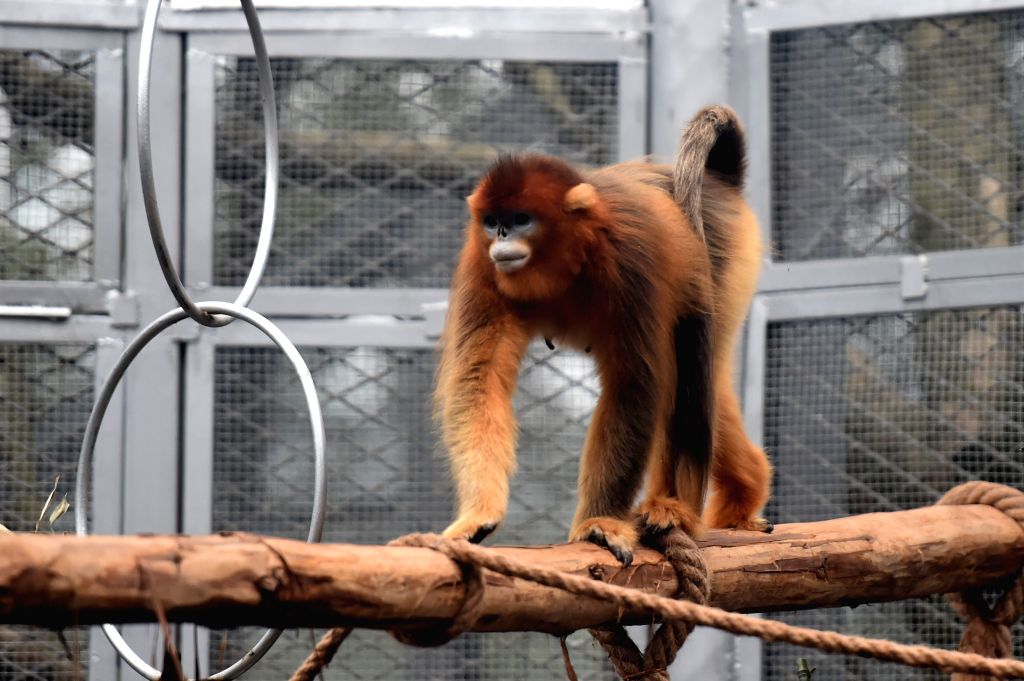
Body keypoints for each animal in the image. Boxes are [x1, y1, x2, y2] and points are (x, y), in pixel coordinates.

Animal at [434, 105, 772, 566]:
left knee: (690, 370)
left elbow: (634, 386)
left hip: (725, 259)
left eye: (520, 220)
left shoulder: (631, 257)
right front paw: (478, 514)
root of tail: (721, 185)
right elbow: (477, 381)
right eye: (492, 223)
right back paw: (743, 497)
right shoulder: (482, 265)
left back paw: (675, 509)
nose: (501, 236)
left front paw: (600, 522)